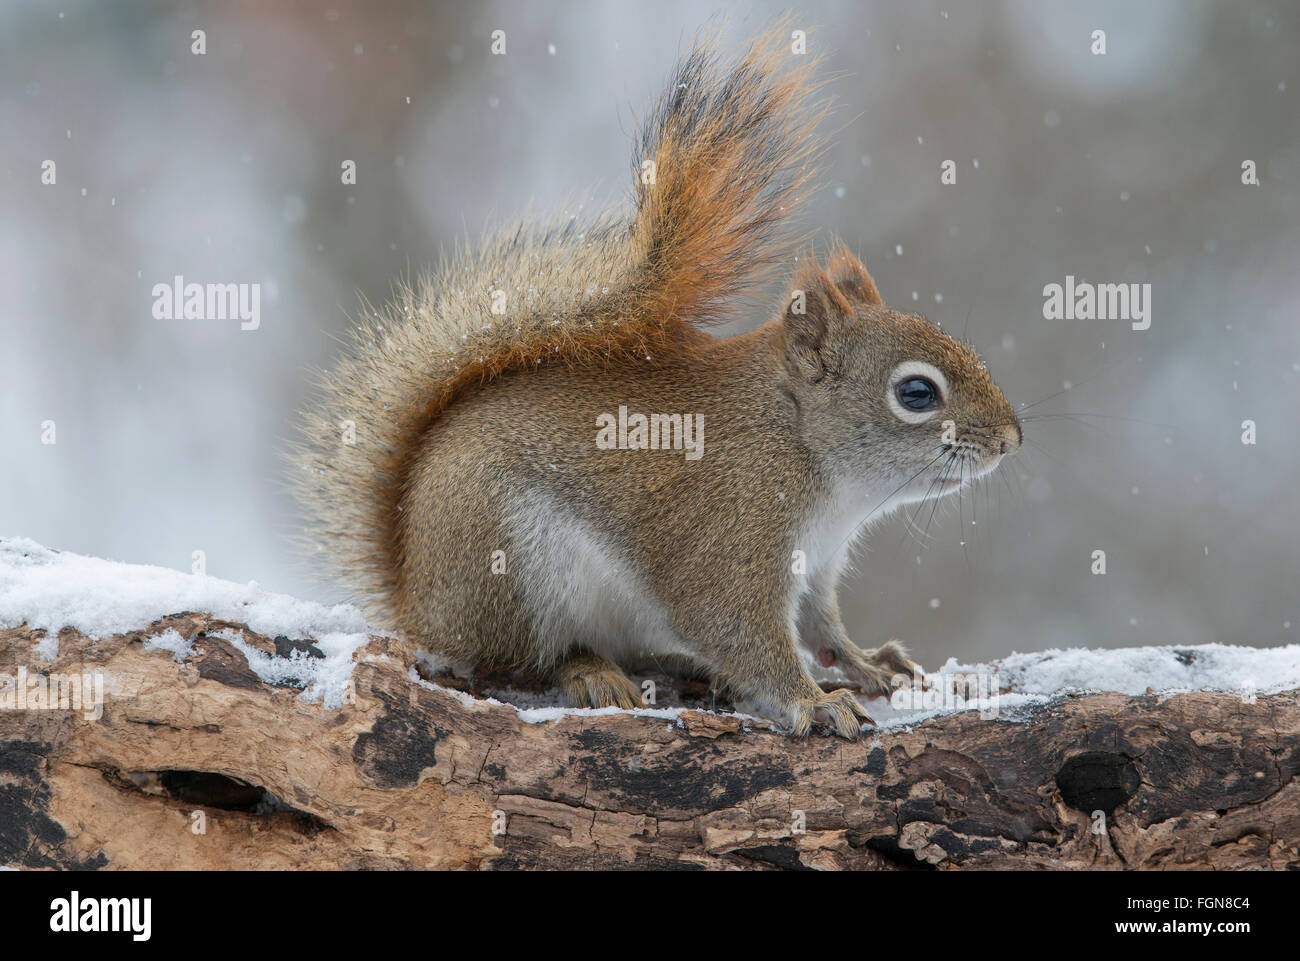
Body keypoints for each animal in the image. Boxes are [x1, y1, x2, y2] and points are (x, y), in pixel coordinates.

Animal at [292, 27, 1021, 738]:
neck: (807, 453)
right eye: (917, 393)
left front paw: (869, 664)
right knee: (521, 657)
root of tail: (416, 597)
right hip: (510, 561)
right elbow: (741, 631)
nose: (1012, 440)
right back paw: (591, 670)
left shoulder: (813, 567)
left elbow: (823, 629)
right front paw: (814, 703)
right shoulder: (731, 534)